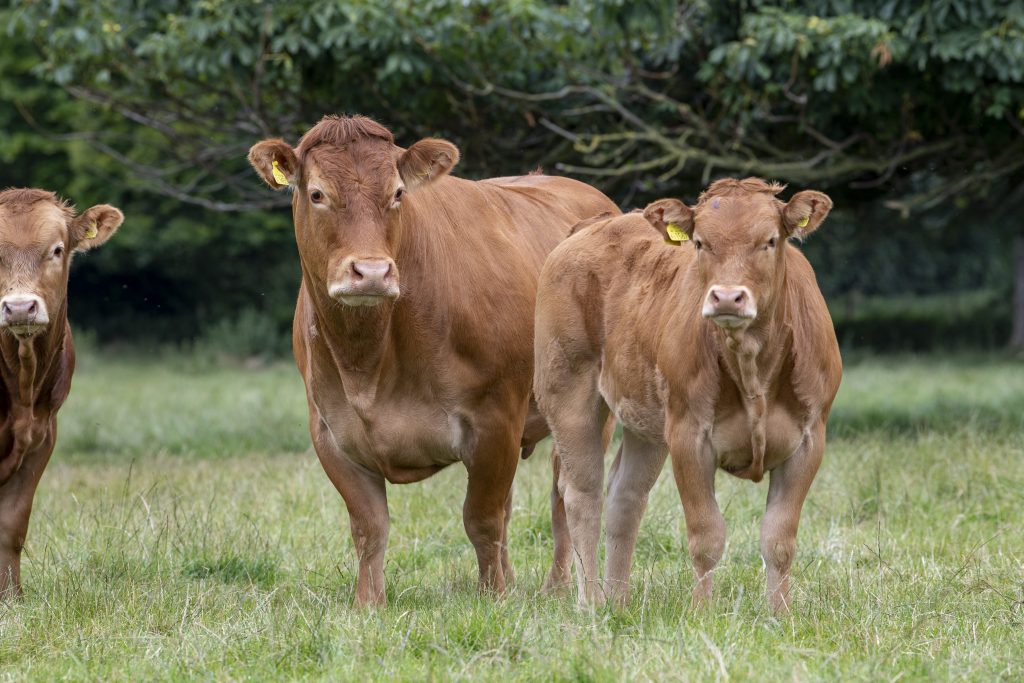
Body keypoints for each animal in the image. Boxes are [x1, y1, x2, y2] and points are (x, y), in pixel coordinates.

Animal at [248, 115, 619, 606]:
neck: (369, 363)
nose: (371, 272)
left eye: (397, 193)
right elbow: (369, 527)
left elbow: (481, 519)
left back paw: (555, 586)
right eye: (317, 194)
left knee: (563, 495)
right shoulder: (330, 432)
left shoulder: (495, 420)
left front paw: (493, 597)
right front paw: (368, 604)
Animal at [534, 178, 841, 614]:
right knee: (582, 496)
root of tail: (595, 224)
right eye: (699, 242)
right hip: (569, 393)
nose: (727, 297)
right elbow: (706, 535)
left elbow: (779, 540)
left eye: (769, 240)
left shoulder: (809, 441)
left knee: (625, 499)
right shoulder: (688, 436)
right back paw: (590, 601)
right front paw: (702, 611)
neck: (752, 369)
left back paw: (618, 601)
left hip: (645, 423)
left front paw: (779, 614)